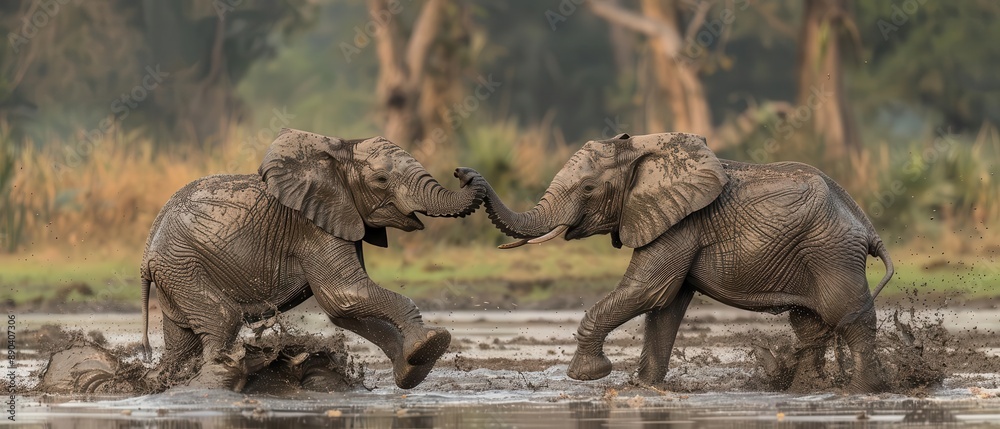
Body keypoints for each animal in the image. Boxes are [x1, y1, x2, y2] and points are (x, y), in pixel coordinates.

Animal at [140, 128, 485, 390]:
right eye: (381, 180)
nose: (463, 173)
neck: (338, 152)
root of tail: (146, 253)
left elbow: (340, 308)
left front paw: (409, 371)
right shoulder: (312, 226)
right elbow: (344, 294)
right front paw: (431, 343)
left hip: (175, 273)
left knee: (182, 343)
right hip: (182, 263)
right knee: (223, 321)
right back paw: (213, 386)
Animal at [457, 132, 894, 392]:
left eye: (588, 188)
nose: (464, 173)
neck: (641, 149)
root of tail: (868, 226)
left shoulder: (681, 223)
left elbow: (648, 291)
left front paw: (588, 374)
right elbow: (664, 307)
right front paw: (645, 387)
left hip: (831, 251)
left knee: (847, 315)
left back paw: (862, 391)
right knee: (811, 325)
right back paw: (806, 391)